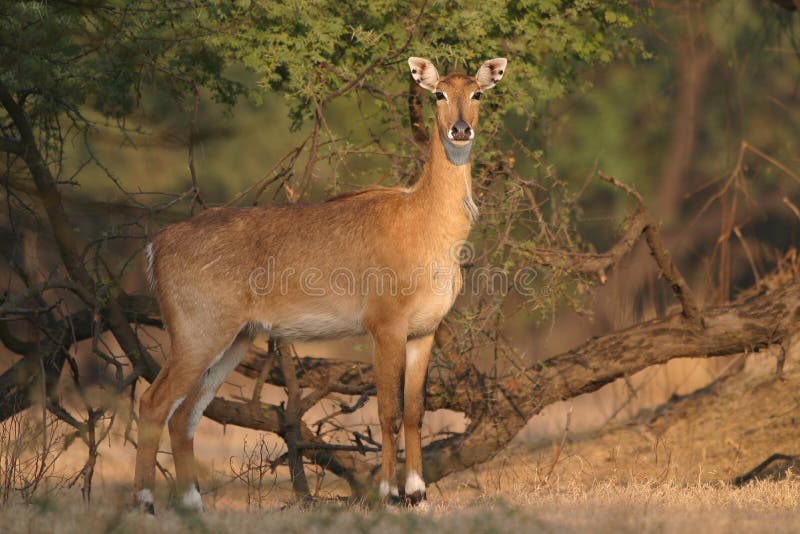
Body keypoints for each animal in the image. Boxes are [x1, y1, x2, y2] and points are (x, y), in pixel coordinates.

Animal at [134, 56, 507, 513]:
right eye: (438, 93)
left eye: (477, 93)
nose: (460, 129)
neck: (427, 224)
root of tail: (156, 246)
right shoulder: (385, 327)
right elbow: (388, 412)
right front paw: (388, 494)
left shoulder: (425, 331)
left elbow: (415, 411)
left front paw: (419, 494)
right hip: (197, 332)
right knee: (154, 404)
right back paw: (145, 504)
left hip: (234, 338)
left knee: (185, 413)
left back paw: (193, 505)